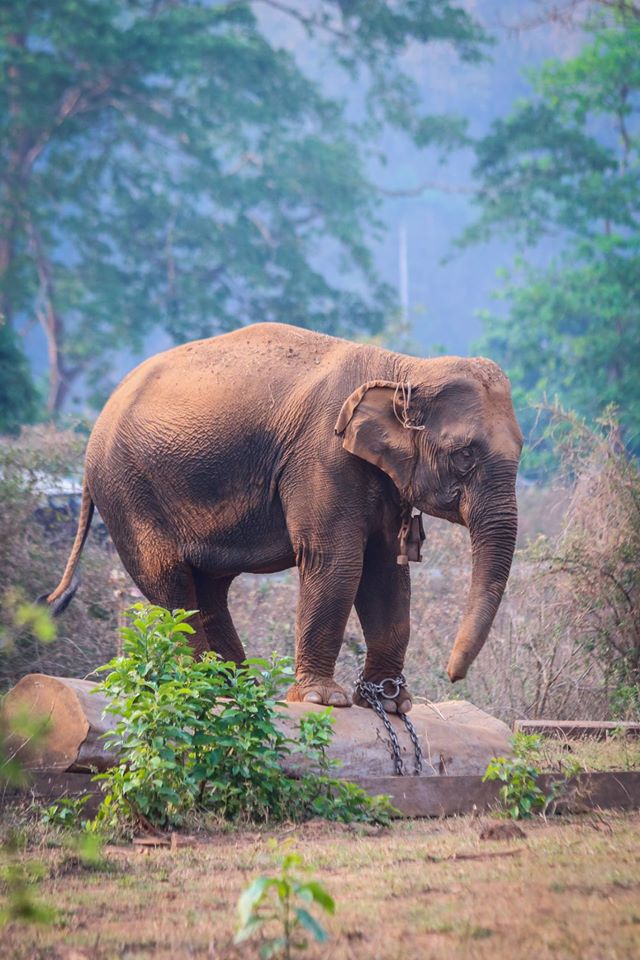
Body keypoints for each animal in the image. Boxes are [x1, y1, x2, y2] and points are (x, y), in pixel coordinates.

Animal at [44, 322, 523, 714]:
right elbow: (338, 561)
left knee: (208, 589)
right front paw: (322, 699)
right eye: (464, 455)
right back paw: (201, 687)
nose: (452, 676)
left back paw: (235, 689)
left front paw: (391, 703)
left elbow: (386, 571)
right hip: (127, 491)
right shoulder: (322, 457)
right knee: (170, 581)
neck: (404, 368)